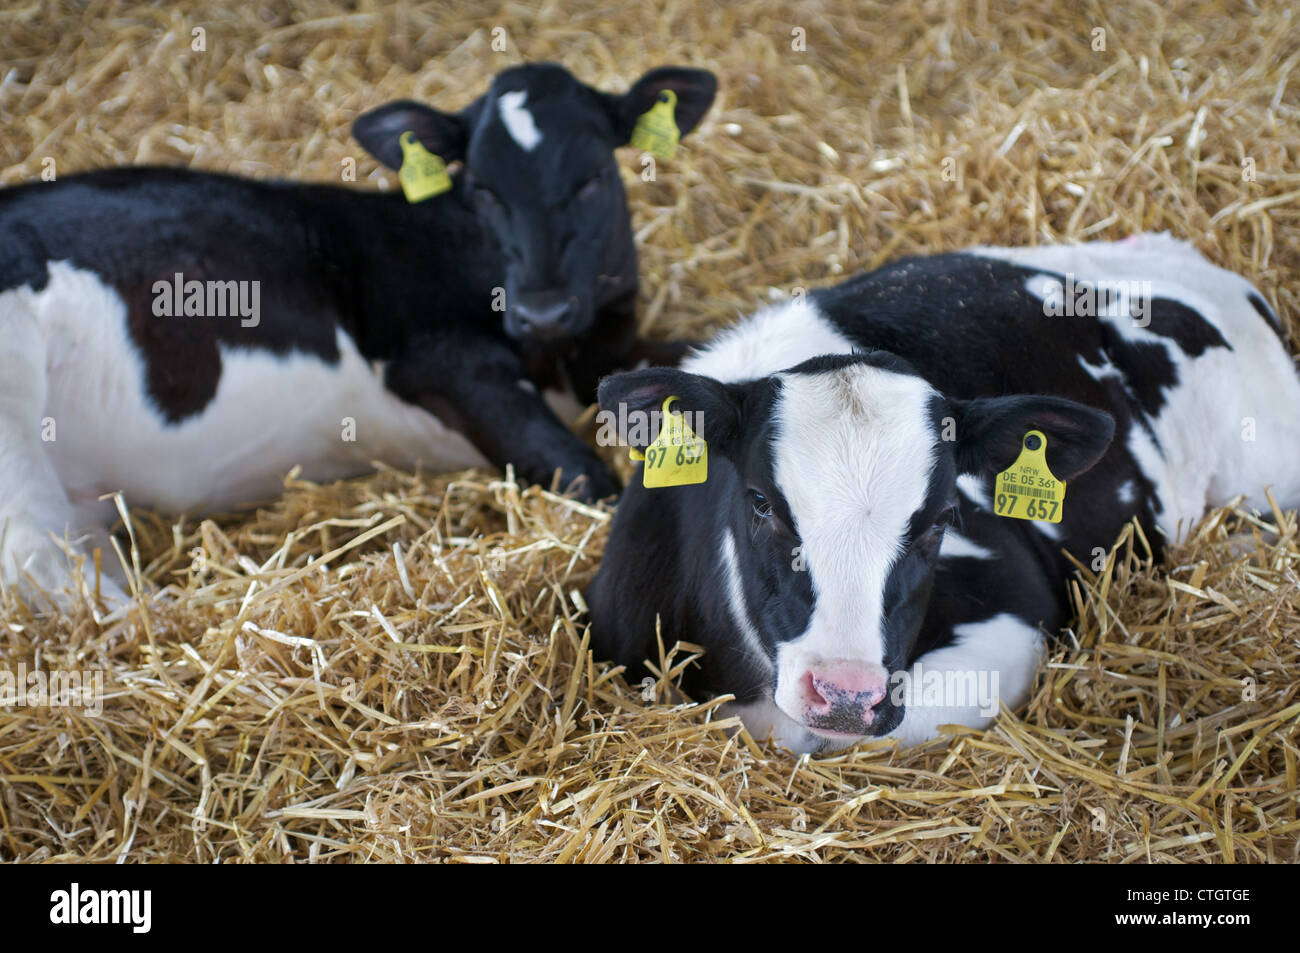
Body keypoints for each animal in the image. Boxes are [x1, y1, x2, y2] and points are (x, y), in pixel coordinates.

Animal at [0, 62, 717, 606]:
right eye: (482, 189)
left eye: (594, 178)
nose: (542, 311)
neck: (562, 359)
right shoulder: (435, 359)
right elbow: (585, 477)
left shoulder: (615, 352)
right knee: (42, 562)